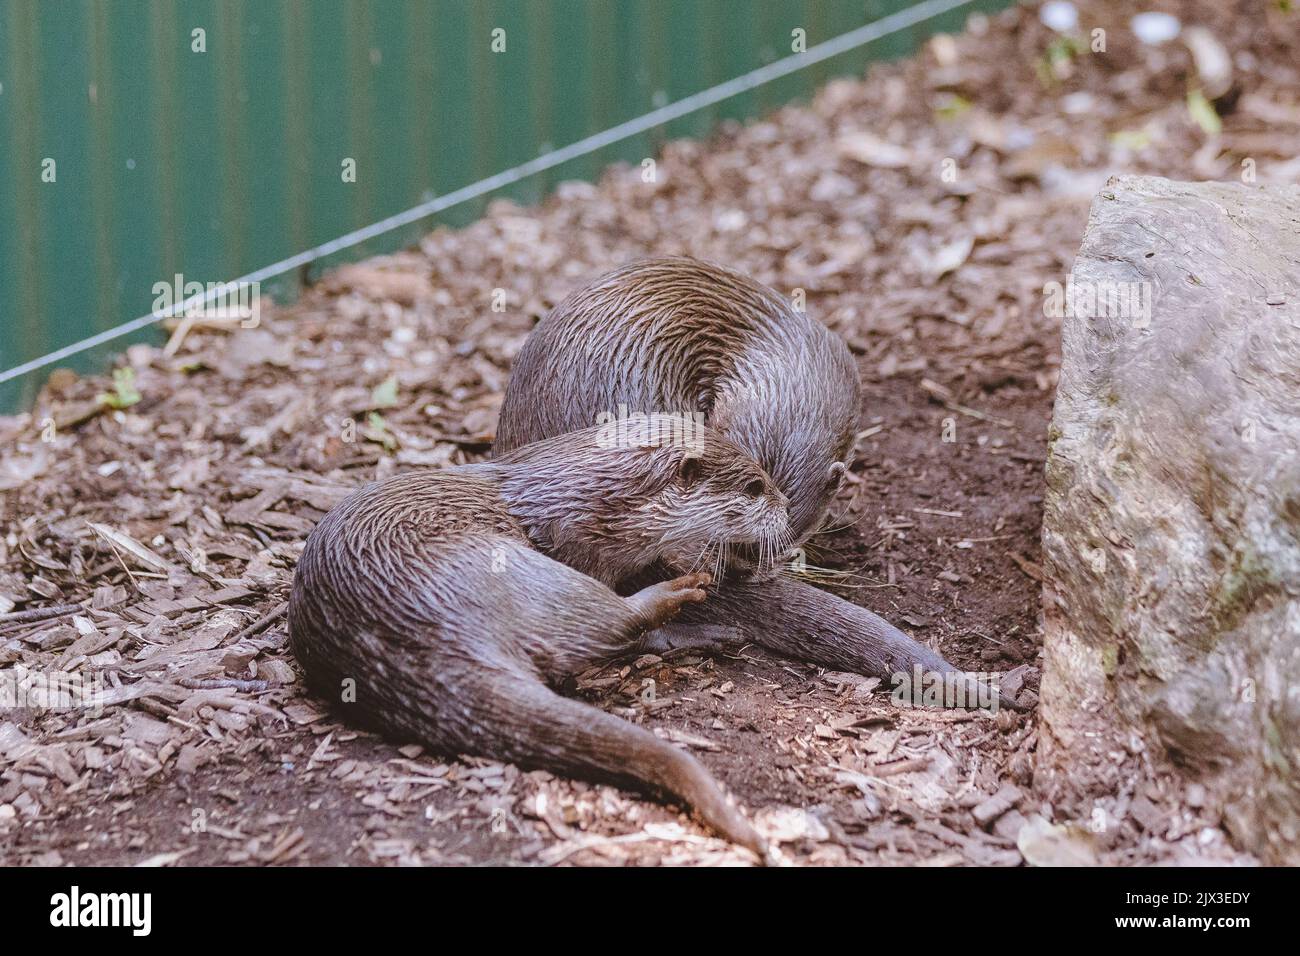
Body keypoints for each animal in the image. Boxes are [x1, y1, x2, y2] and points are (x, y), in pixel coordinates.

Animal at [289, 419, 790, 856]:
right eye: (754, 487)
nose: (785, 504)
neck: (585, 504)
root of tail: (413, 636)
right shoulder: (578, 549)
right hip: (518, 573)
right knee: (615, 621)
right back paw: (680, 596)